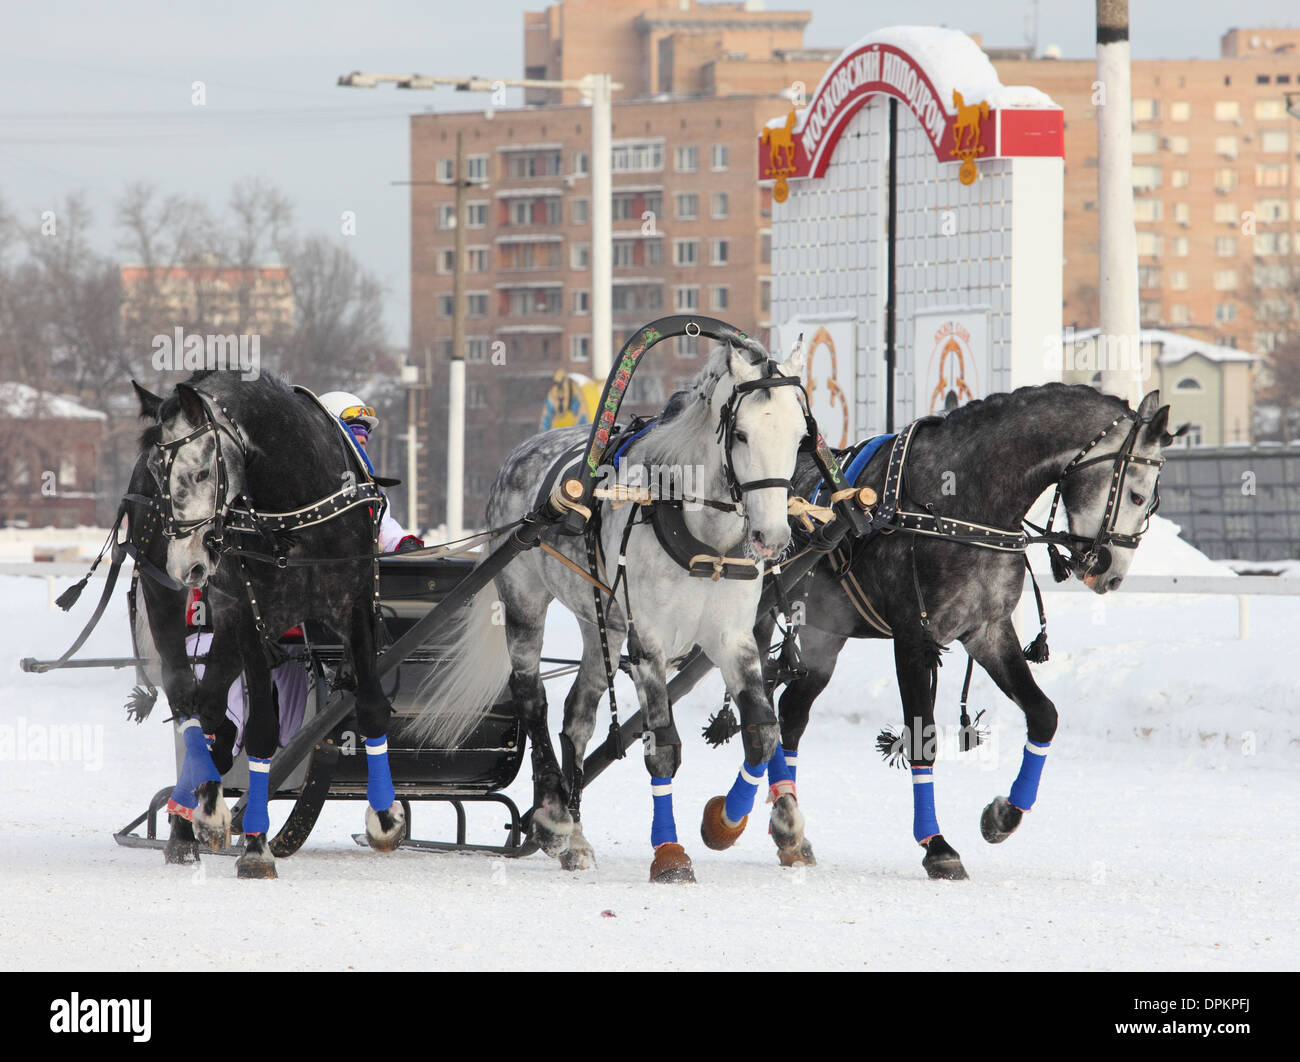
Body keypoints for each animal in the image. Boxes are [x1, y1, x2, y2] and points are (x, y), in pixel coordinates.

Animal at [132, 371, 407, 878]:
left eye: (201, 473)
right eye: (159, 475)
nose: (185, 564)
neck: (297, 506)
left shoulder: (356, 601)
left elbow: (373, 705)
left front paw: (385, 816)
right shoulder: (254, 614)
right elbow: (261, 727)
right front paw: (257, 845)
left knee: (211, 708)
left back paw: (203, 804)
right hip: (172, 600)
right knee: (187, 702)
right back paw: (187, 827)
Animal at [411, 338, 812, 882]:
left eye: (799, 435)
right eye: (743, 434)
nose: (771, 538)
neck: (701, 536)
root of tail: (520, 451)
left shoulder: (733, 638)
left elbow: (763, 735)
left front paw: (733, 823)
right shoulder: (649, 644)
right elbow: (663, 748)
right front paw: (670, 854)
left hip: (600, 624)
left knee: (577, 714)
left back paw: (572, 834)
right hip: (524, 601)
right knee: (532, 698)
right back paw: (554, 819)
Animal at [709, 385, 1183, 880]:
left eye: (1150, 502)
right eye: (1135, 495)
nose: (1112, 573)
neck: (959, 505)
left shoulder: (987, 630)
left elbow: (1044, 714)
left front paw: (1005, 814)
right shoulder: (912, 637)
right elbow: (922, 739)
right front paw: (936, 845)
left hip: (824, 635)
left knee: (790, 713)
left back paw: (787, 823)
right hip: (757, 620)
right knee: (761, 707)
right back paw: (741, 812)